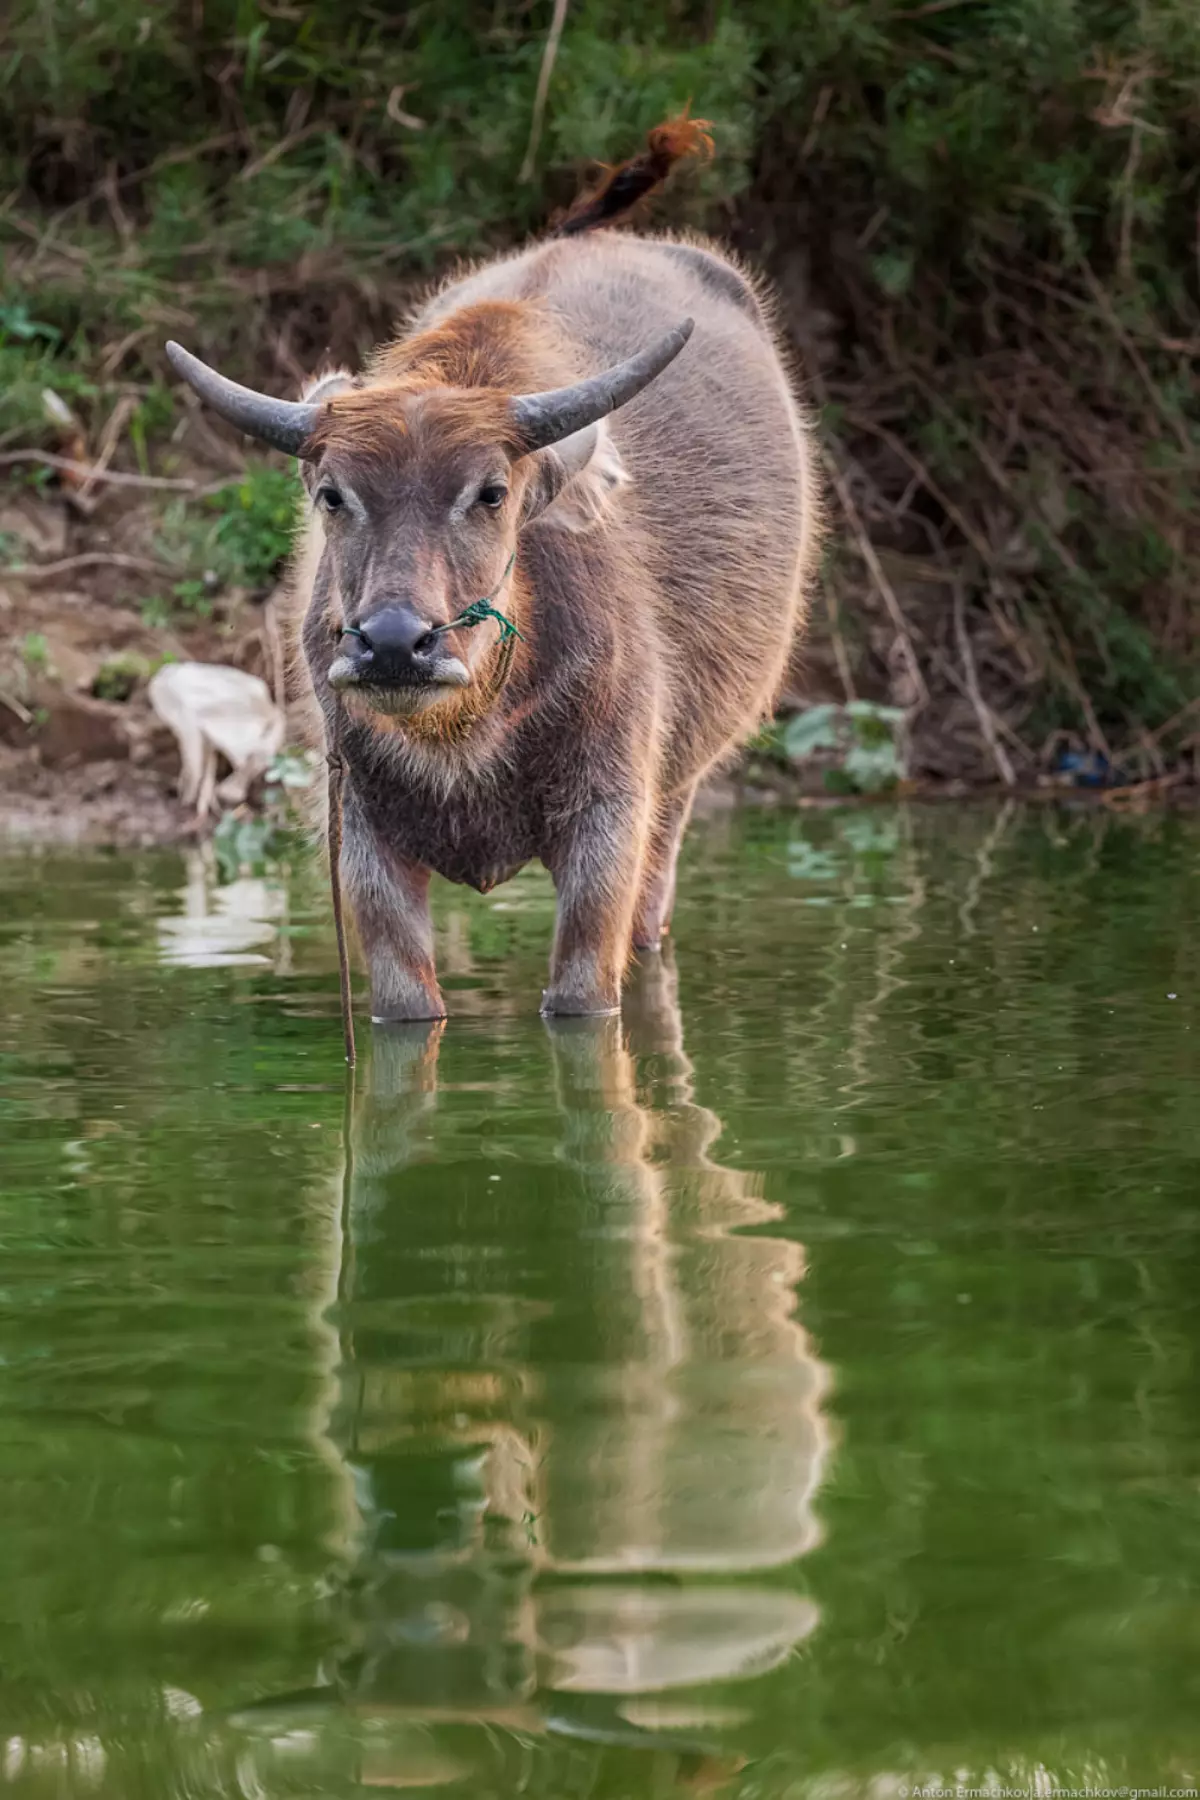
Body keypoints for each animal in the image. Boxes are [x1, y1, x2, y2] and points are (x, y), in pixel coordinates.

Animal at [166, 119, 816, 1022]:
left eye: (492, 492)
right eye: (333, 493)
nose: (393, 645)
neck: (465, 733)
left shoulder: (608, 826)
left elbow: (585, 998)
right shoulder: (362, 839)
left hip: (677, 797)